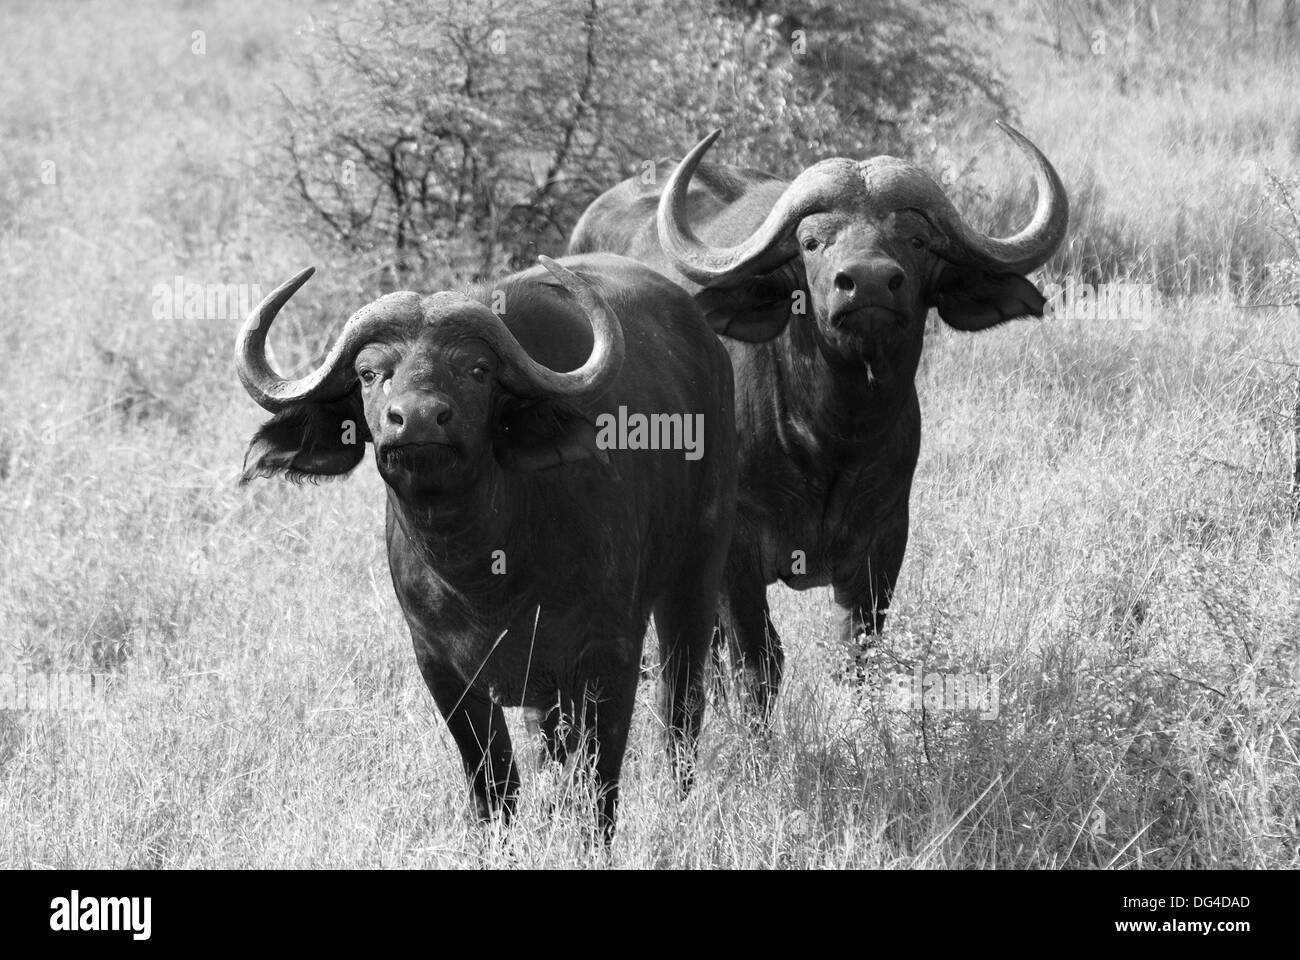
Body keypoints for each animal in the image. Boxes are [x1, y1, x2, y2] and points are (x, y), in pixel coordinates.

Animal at [235, 254, 736, 839]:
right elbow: (494, 785)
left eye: (476, 370)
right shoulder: (443, 669)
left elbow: (598, 789)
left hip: (697, 575)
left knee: (681, 709)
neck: (486, 572)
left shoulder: (611, 656)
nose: (418, 418)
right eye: (368, 373)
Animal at [570, 123, 1067, 718]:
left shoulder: (883, 545)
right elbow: (758, 664)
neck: (829, 440)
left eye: (916, 241)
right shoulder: (735, 554)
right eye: (811, 243)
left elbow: (859, 661)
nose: (869, 284)